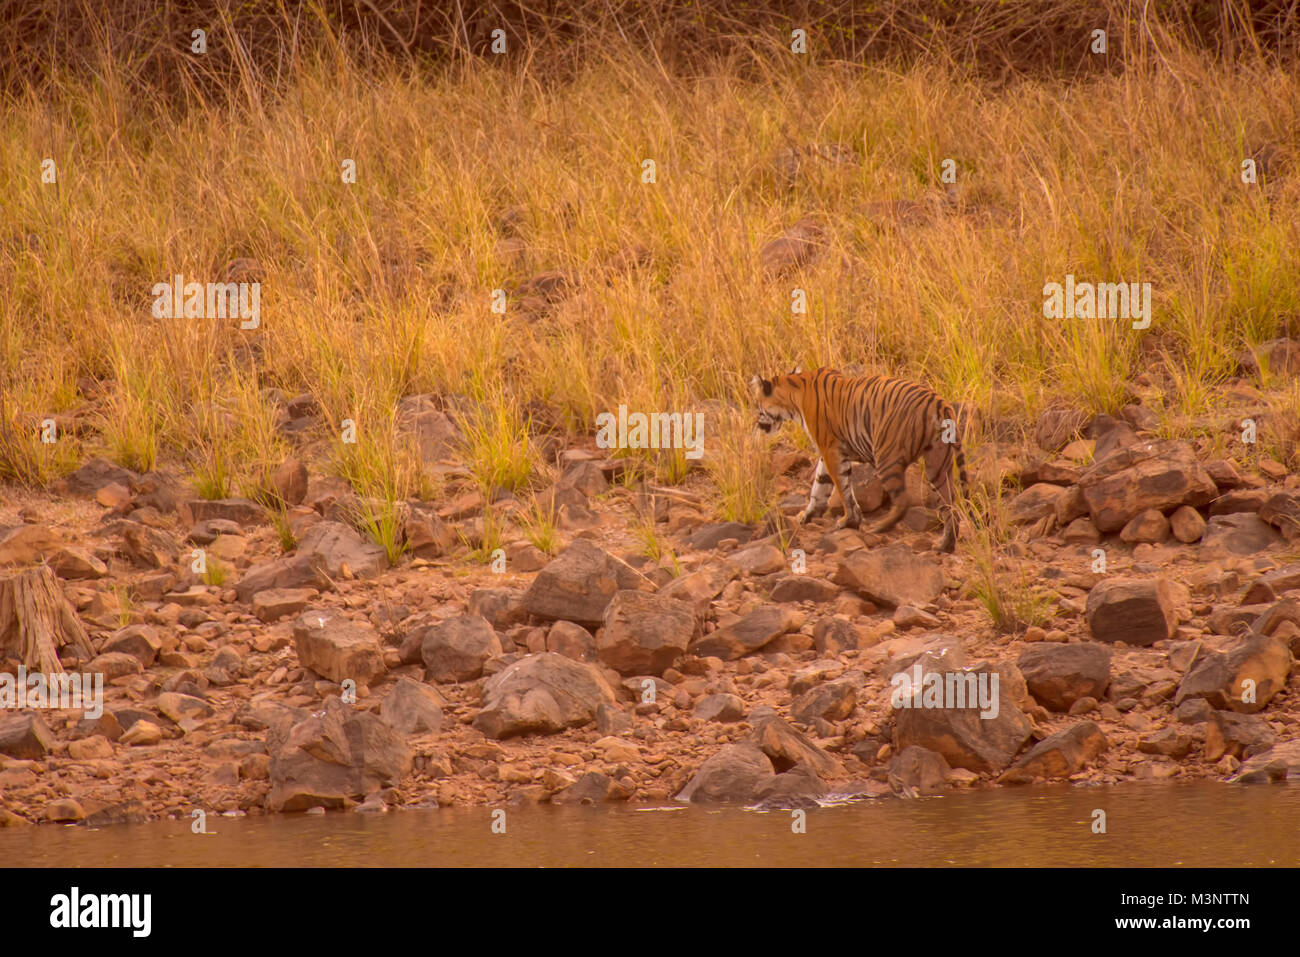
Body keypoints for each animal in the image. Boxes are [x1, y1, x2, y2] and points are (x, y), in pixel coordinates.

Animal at [750, 365, 969, 552]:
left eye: (757, 405)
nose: (757, 424)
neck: (794, 395)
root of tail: (939, 402)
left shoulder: (831, 450)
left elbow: (842, 488)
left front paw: (848, 521)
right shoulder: (828, 454)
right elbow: (820, 486)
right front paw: (807, 516)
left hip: (887, 457)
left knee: (903, 501)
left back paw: (878, 528)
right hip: (938, 464)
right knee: (951, 507)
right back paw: (945, 546)